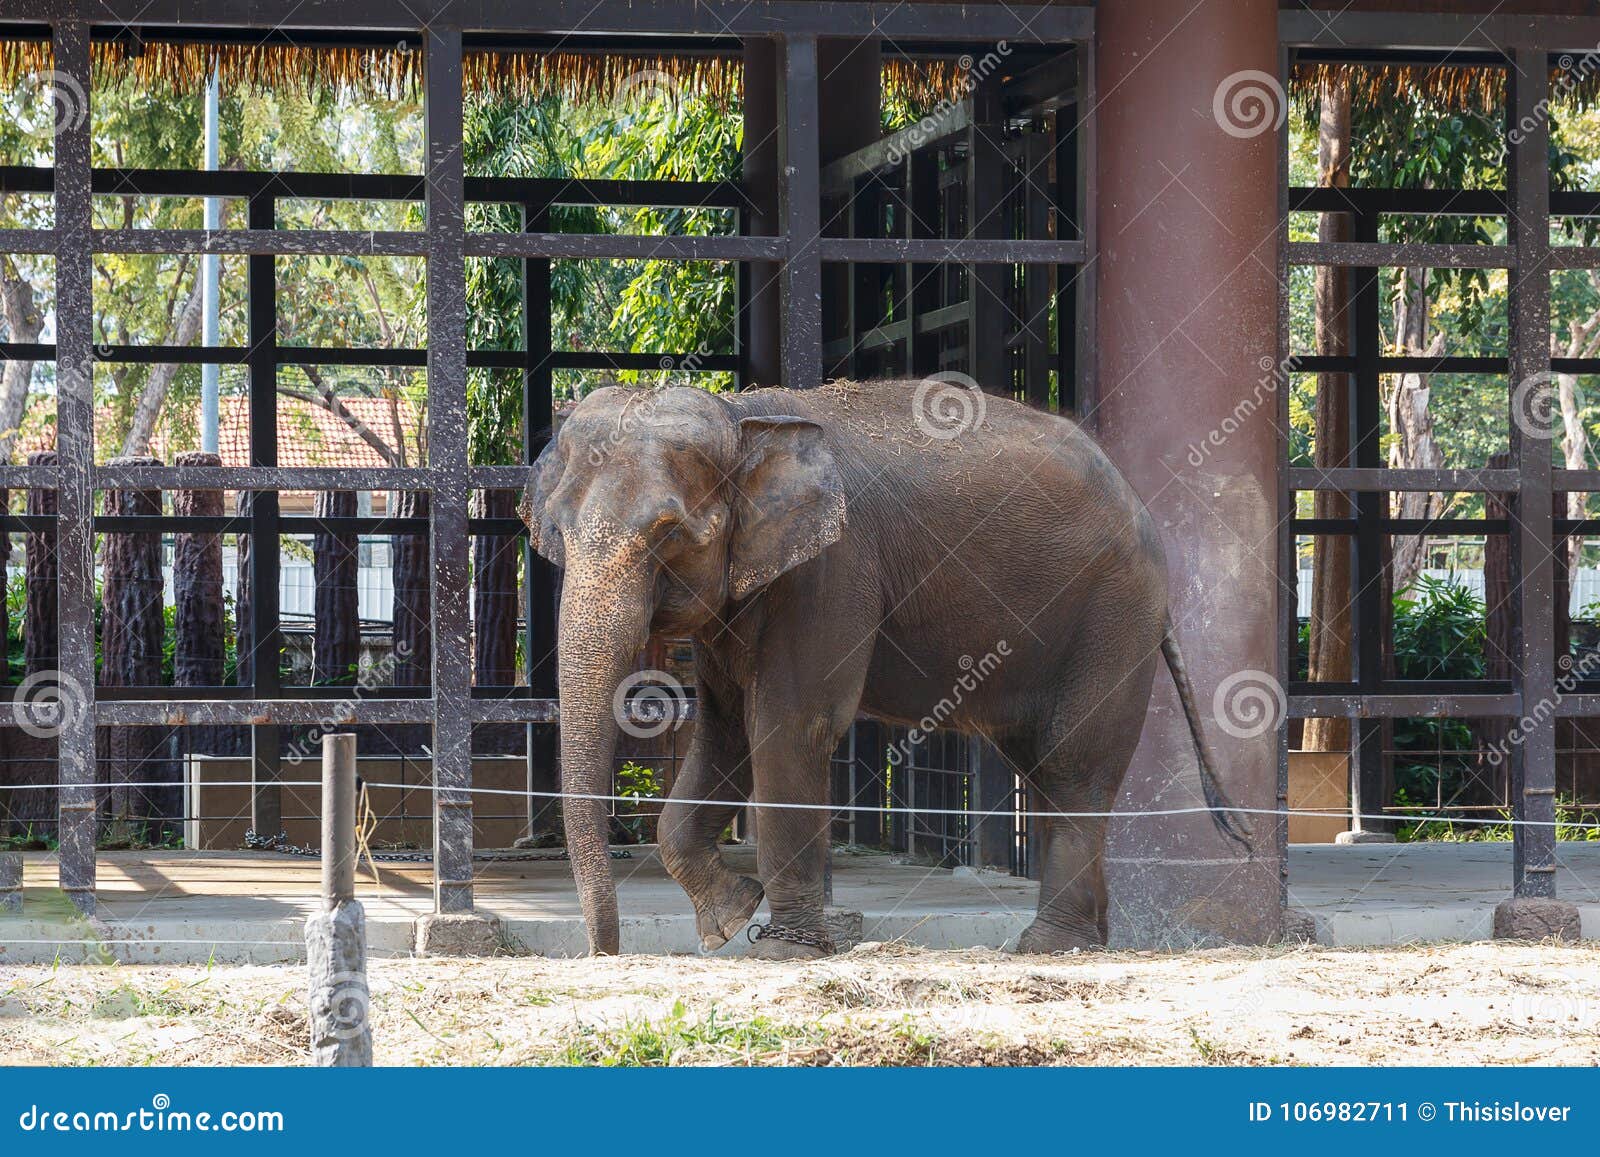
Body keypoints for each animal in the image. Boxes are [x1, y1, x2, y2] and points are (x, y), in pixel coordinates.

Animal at [521, 378, 1249, 959]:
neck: (743, 416)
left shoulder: (834, 569)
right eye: (556, 531)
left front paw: (780, 950)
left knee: (1073, 764)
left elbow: (790, 725)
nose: (604, 954)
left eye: (670, 532)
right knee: (1042, 766)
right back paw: (1090, 941)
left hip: (1114, 612)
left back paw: (1048, 947)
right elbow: (726, 730)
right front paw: (729, 918)